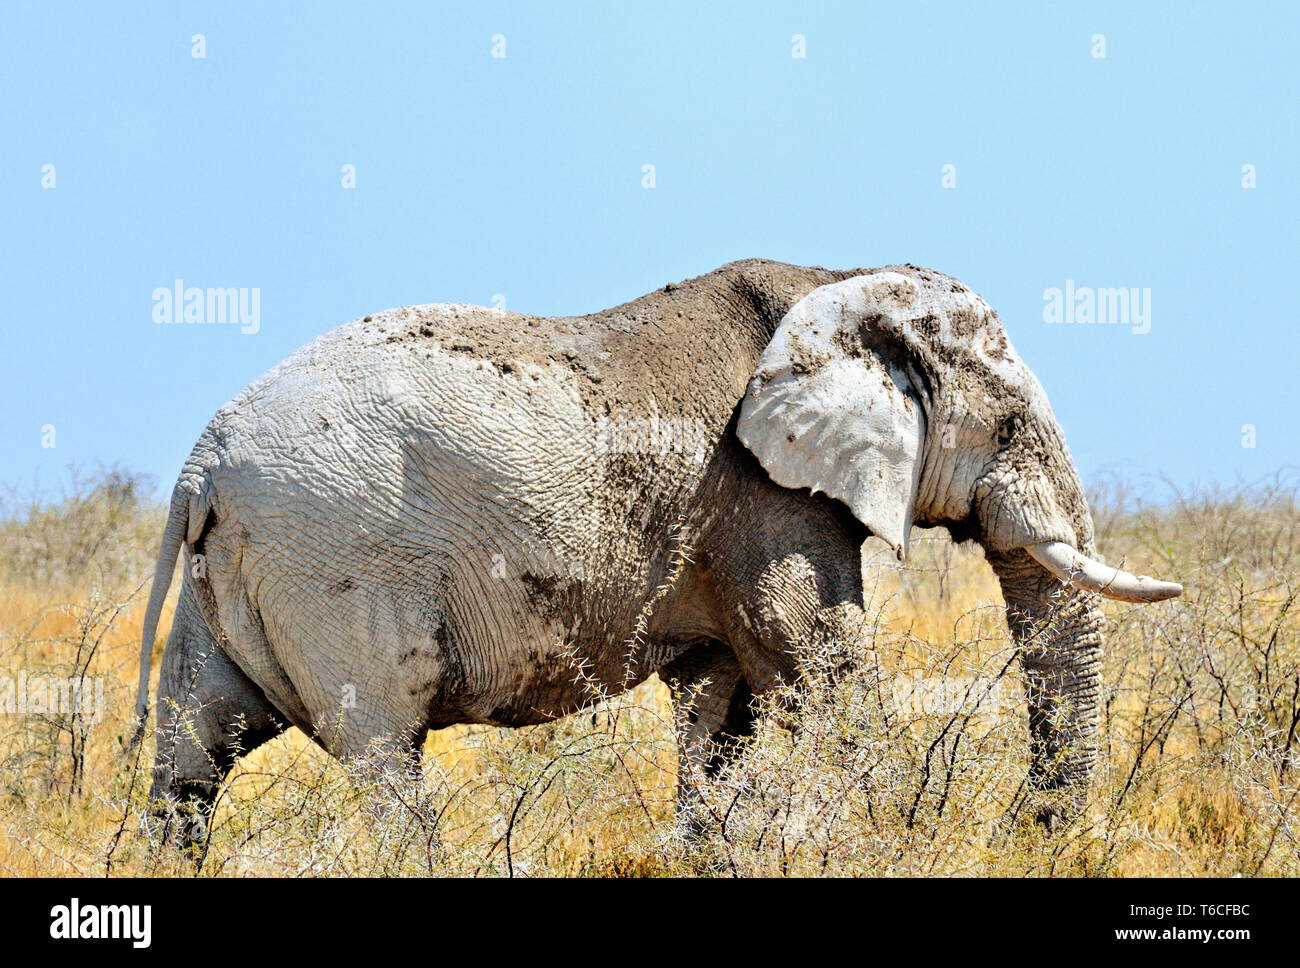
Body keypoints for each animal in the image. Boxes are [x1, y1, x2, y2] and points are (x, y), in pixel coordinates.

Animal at [133, 259, 1181, 841]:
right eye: (1006, 428)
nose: (1029, 828)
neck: (836, 279)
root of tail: (200, 468)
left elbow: (721, 714)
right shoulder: (764, 497)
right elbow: (824, 670)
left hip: (230, 581)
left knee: (190, 765)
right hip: (330, 563)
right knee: (386, 759)